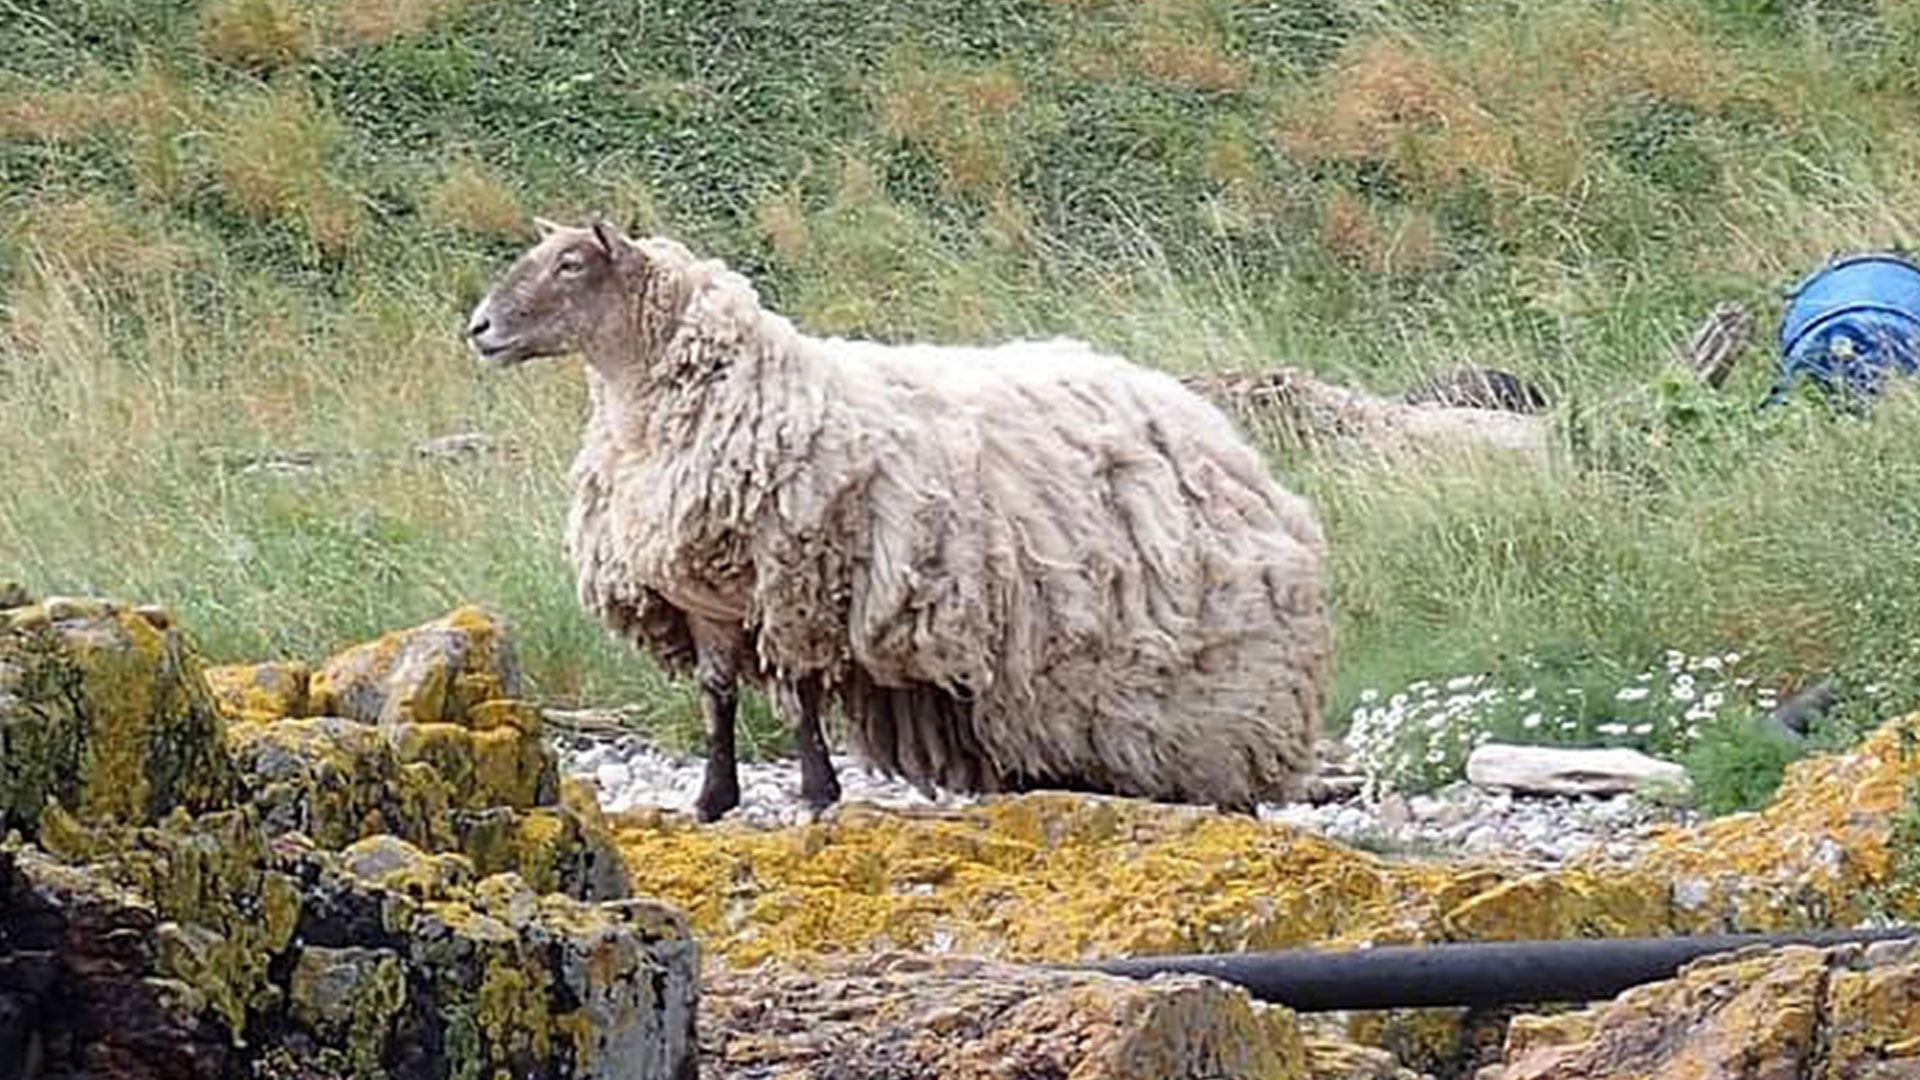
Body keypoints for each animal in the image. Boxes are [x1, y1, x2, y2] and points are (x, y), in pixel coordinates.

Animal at [466, 216, 1334, 822]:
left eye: (571, 264)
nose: (478, 328)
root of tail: (1227, 441)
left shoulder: (796, 582)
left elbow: (800, 696)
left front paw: (818, 793)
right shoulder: (702, 598)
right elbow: (717, 698)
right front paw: (713, 800)